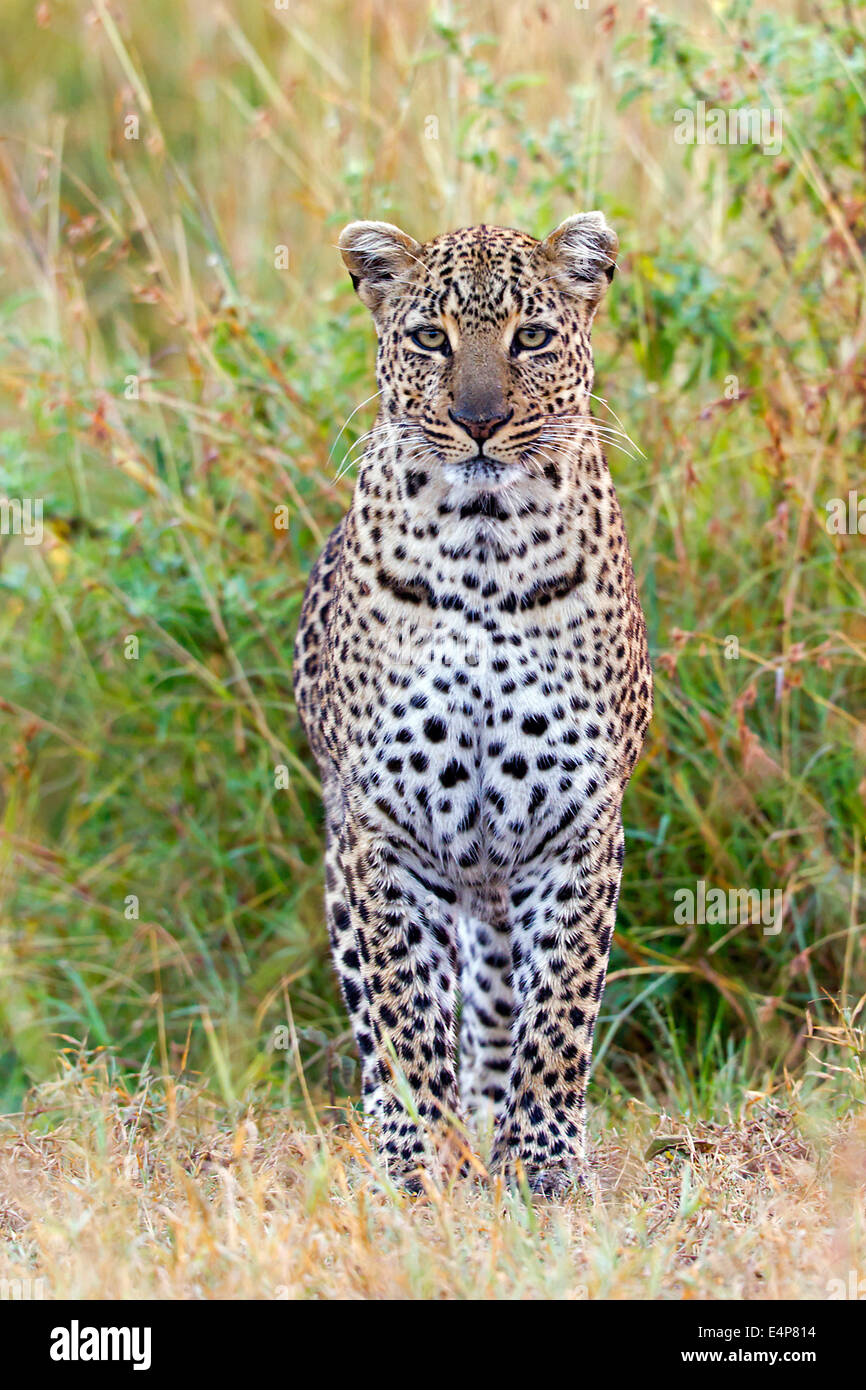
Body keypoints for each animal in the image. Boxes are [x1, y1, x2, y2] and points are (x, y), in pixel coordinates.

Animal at [292, 212, 652, 1196]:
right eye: (429, 338)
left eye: (529, 336)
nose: (479, 421)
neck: (486, 547)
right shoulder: (386, 830)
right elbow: (407, 1013)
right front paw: (424, 1166)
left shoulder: (578, 821)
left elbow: (559, 1010)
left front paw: (540, 1162)